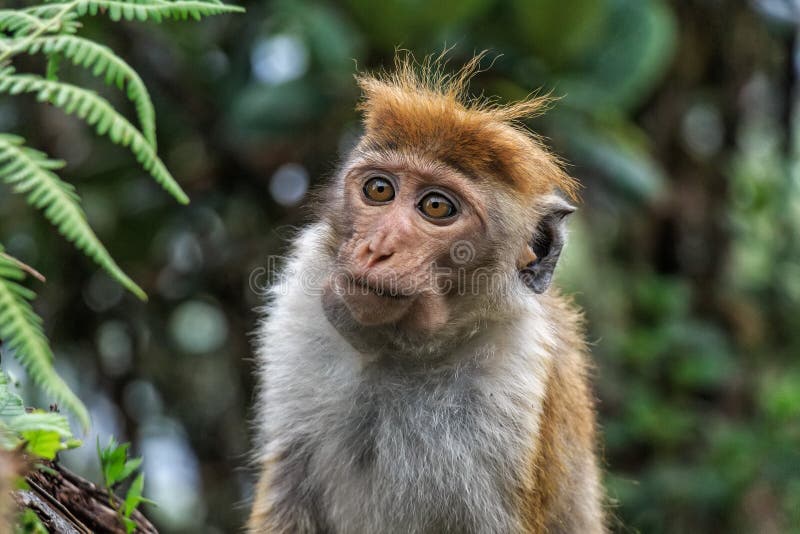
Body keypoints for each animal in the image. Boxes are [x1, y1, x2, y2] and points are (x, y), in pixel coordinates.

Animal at [248, 53, 604, 534]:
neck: (400, 355)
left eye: (436, 207)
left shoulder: (514, 385)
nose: (377, 248)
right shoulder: (297, 315)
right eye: (379, 189)